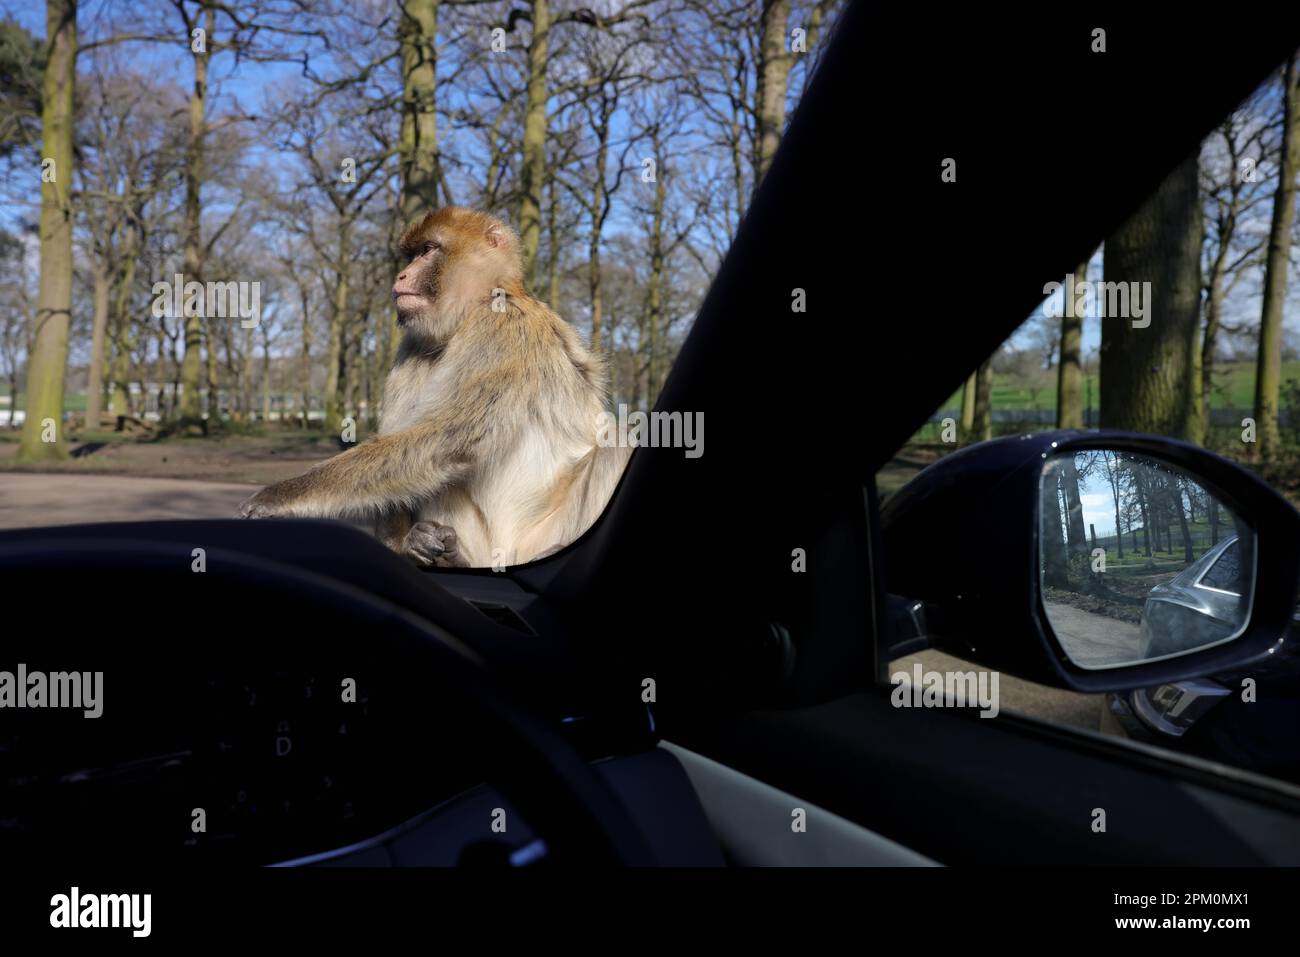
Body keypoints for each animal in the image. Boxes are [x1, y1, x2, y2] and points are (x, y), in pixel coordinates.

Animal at [239, 207, 631, 569]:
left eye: (427, 250)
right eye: (412, 254)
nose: (401, 275)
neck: (474, 308)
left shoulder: (501, 327)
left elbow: (453, 437)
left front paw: (283, 495)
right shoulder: (413, 345)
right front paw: (402, 544)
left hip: (531, 539)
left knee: (619, 442)